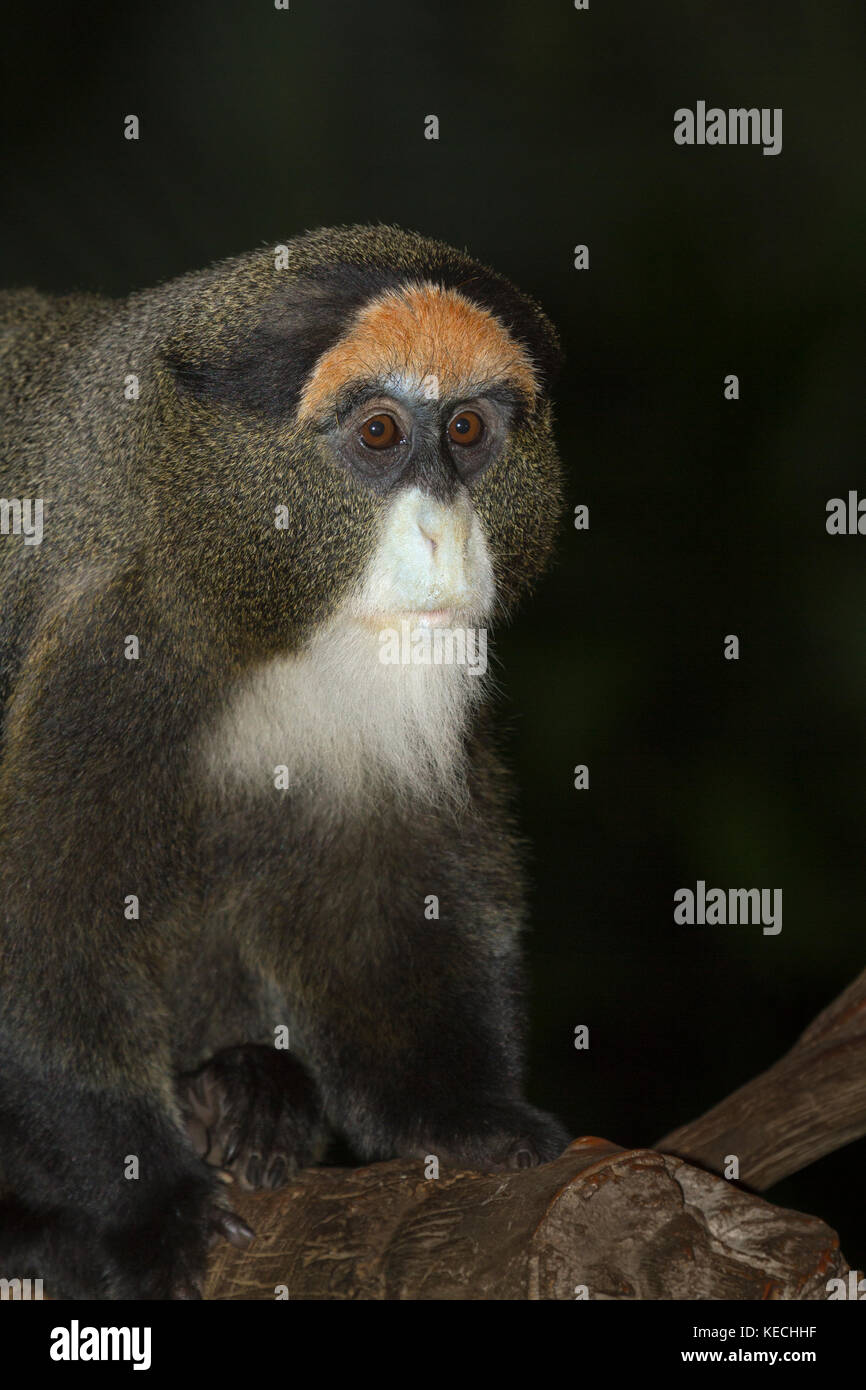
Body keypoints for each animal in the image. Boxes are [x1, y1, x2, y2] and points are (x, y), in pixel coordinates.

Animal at [0, 224, 568, 1299]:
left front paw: (465, 1117)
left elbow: (380, 898)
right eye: (380, 434)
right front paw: (145, 1210)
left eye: (467, 430)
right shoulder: (101, 646)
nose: (446, 538)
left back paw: (245, 1095)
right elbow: (41, 937)